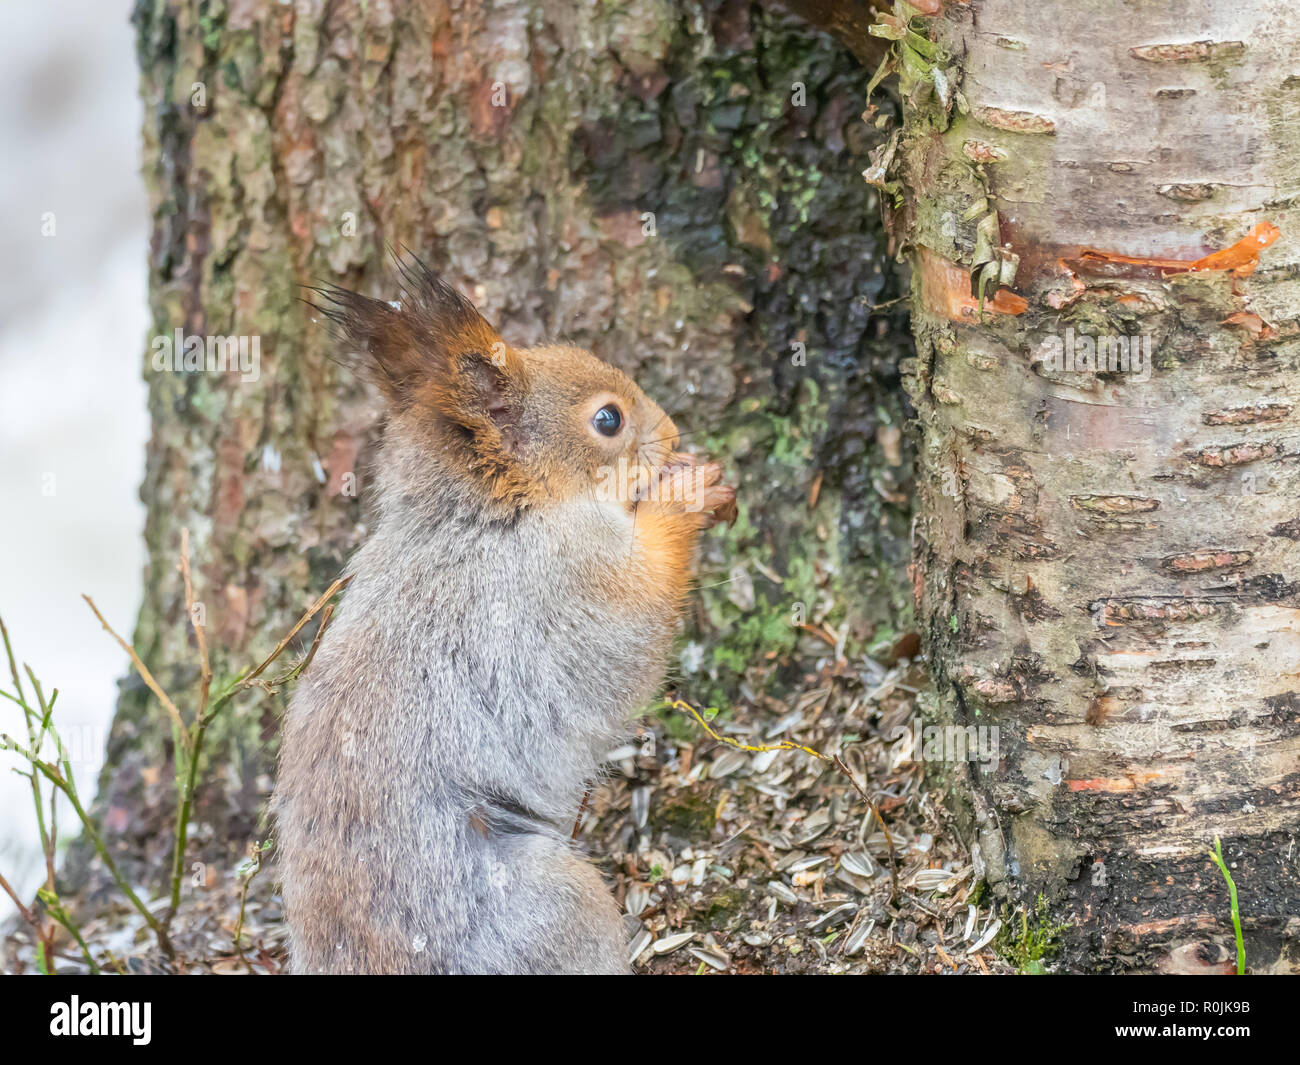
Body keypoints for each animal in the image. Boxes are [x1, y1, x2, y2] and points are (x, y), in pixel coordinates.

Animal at [274, 259, 736, 974]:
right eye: (608, 419)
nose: (673, 434)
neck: (484, 519)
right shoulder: (568, 582)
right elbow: (641, 605)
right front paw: (685, 496)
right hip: (549, 910)